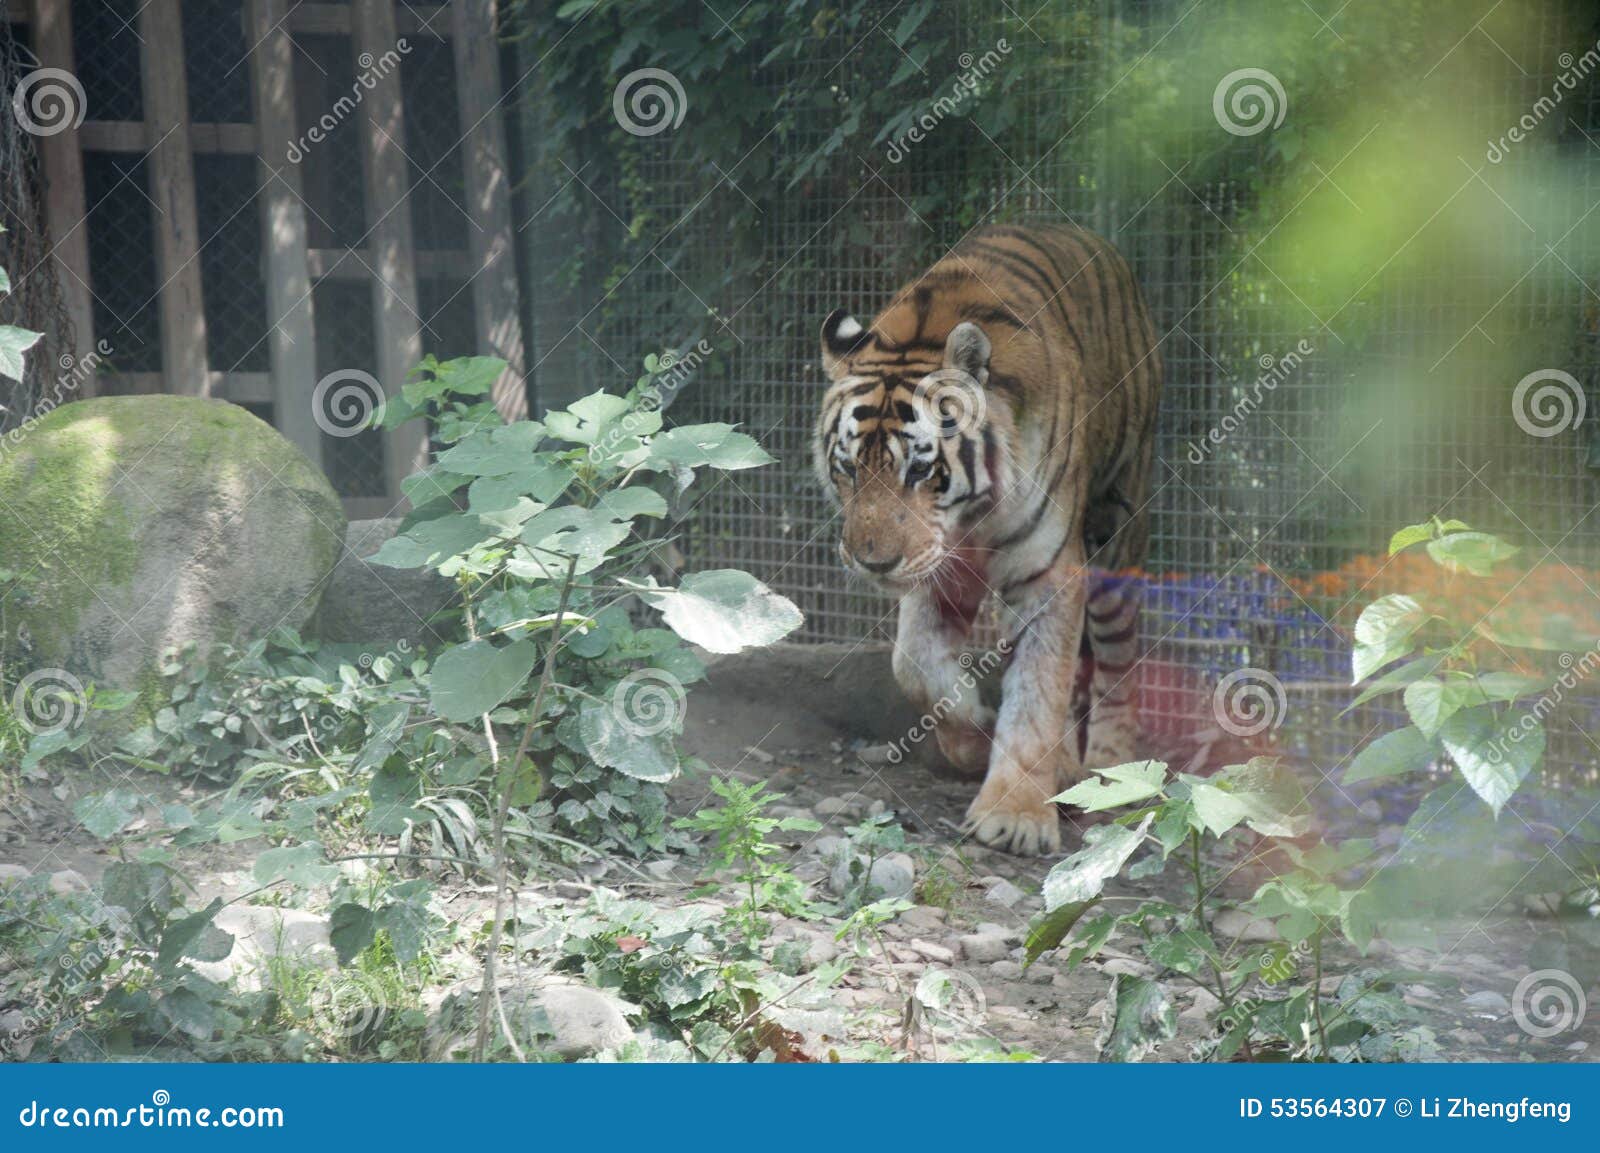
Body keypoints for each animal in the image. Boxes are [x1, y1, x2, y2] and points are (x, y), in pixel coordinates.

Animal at [814, 223, 1162, 855]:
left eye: (919, 470)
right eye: (849, 468)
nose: (873, 563)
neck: (971, 520)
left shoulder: (1050, 574)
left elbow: (1037, 691)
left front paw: (1015, 816)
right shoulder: (939, 572)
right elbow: (916, 665)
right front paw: (972, 741)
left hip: (1118, 527)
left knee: (1117, 657)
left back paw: (1108, 770)